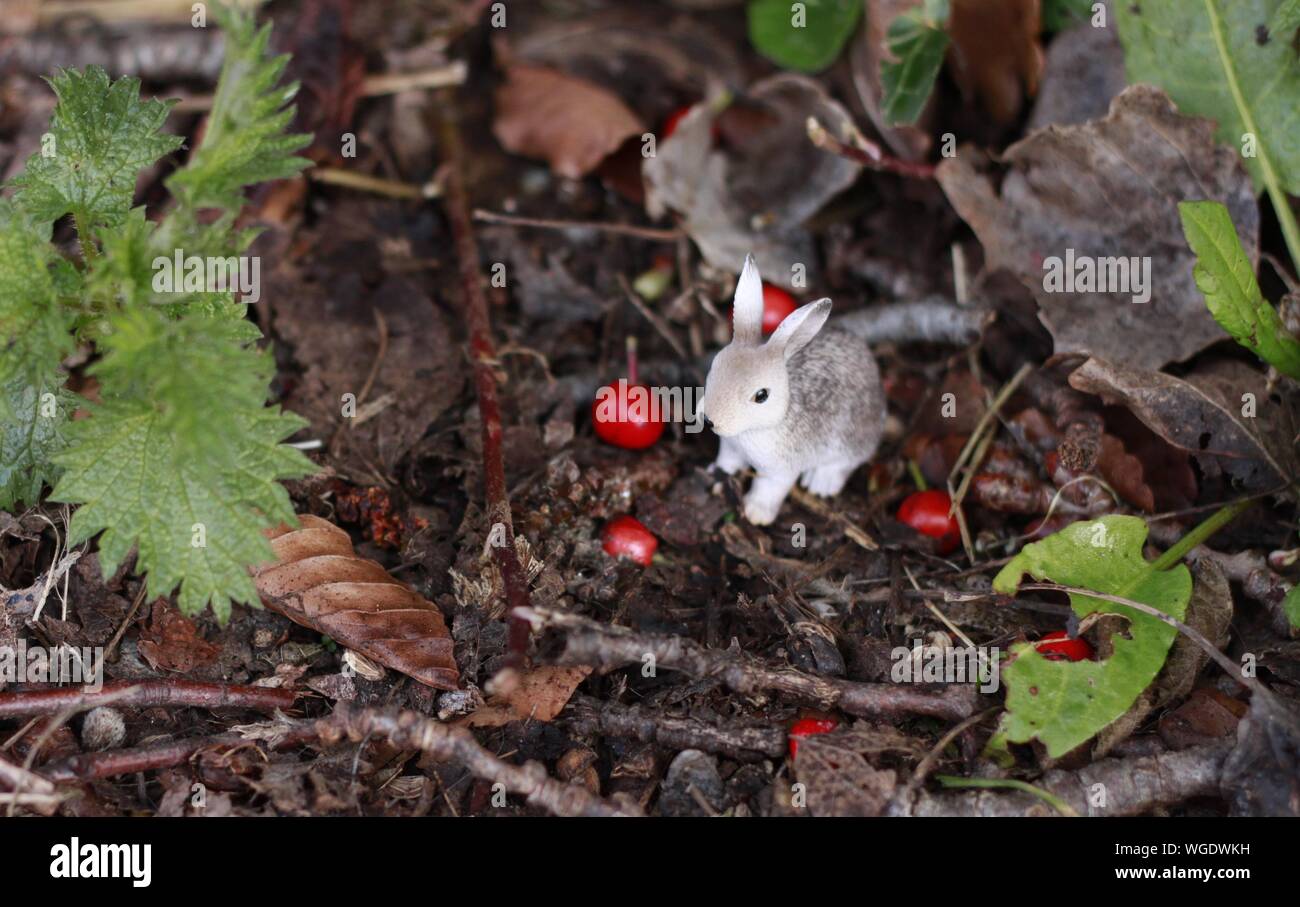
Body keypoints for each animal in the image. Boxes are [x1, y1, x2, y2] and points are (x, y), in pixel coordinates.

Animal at [698, 255, 887, 526]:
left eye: (761, 396)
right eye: (714, 365)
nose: (710, 420)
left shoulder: (780, 472)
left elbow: (769, 489)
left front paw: (756, 514)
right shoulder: (730, 449)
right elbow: (727, 463)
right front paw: (716, 479)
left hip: (850, 438)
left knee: (846, 462)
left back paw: (820, 484)